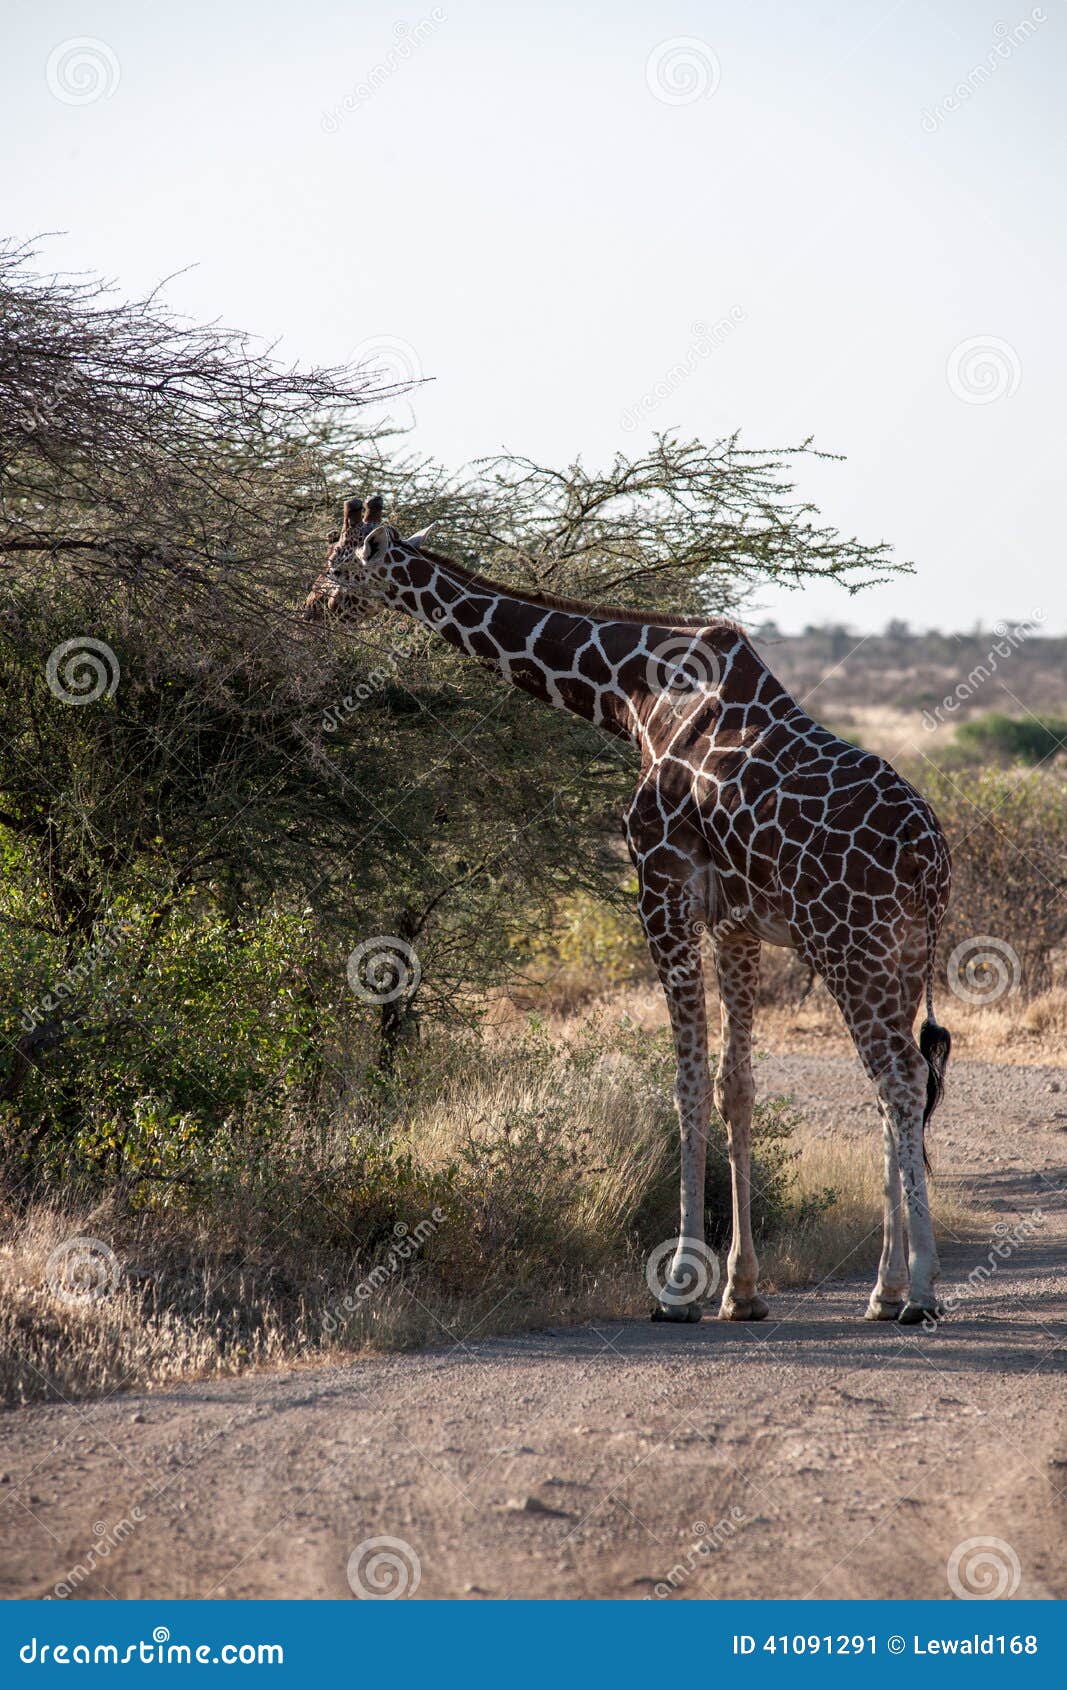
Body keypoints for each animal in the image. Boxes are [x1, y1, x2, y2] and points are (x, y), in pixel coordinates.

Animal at [306, 497, 953, 1326]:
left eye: (340, 564)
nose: (311, 611)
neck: (634, 695)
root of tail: (930, 856)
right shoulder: (735, 920)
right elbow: (736, 1086)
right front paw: (740, 1292)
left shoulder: (659, 882)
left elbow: (684, 1081)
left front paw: (678, 1285)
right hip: (899, 953)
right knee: (894, 1088)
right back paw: (882, 1289)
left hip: (849, 943)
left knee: (898, 1081)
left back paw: (921, 1292)